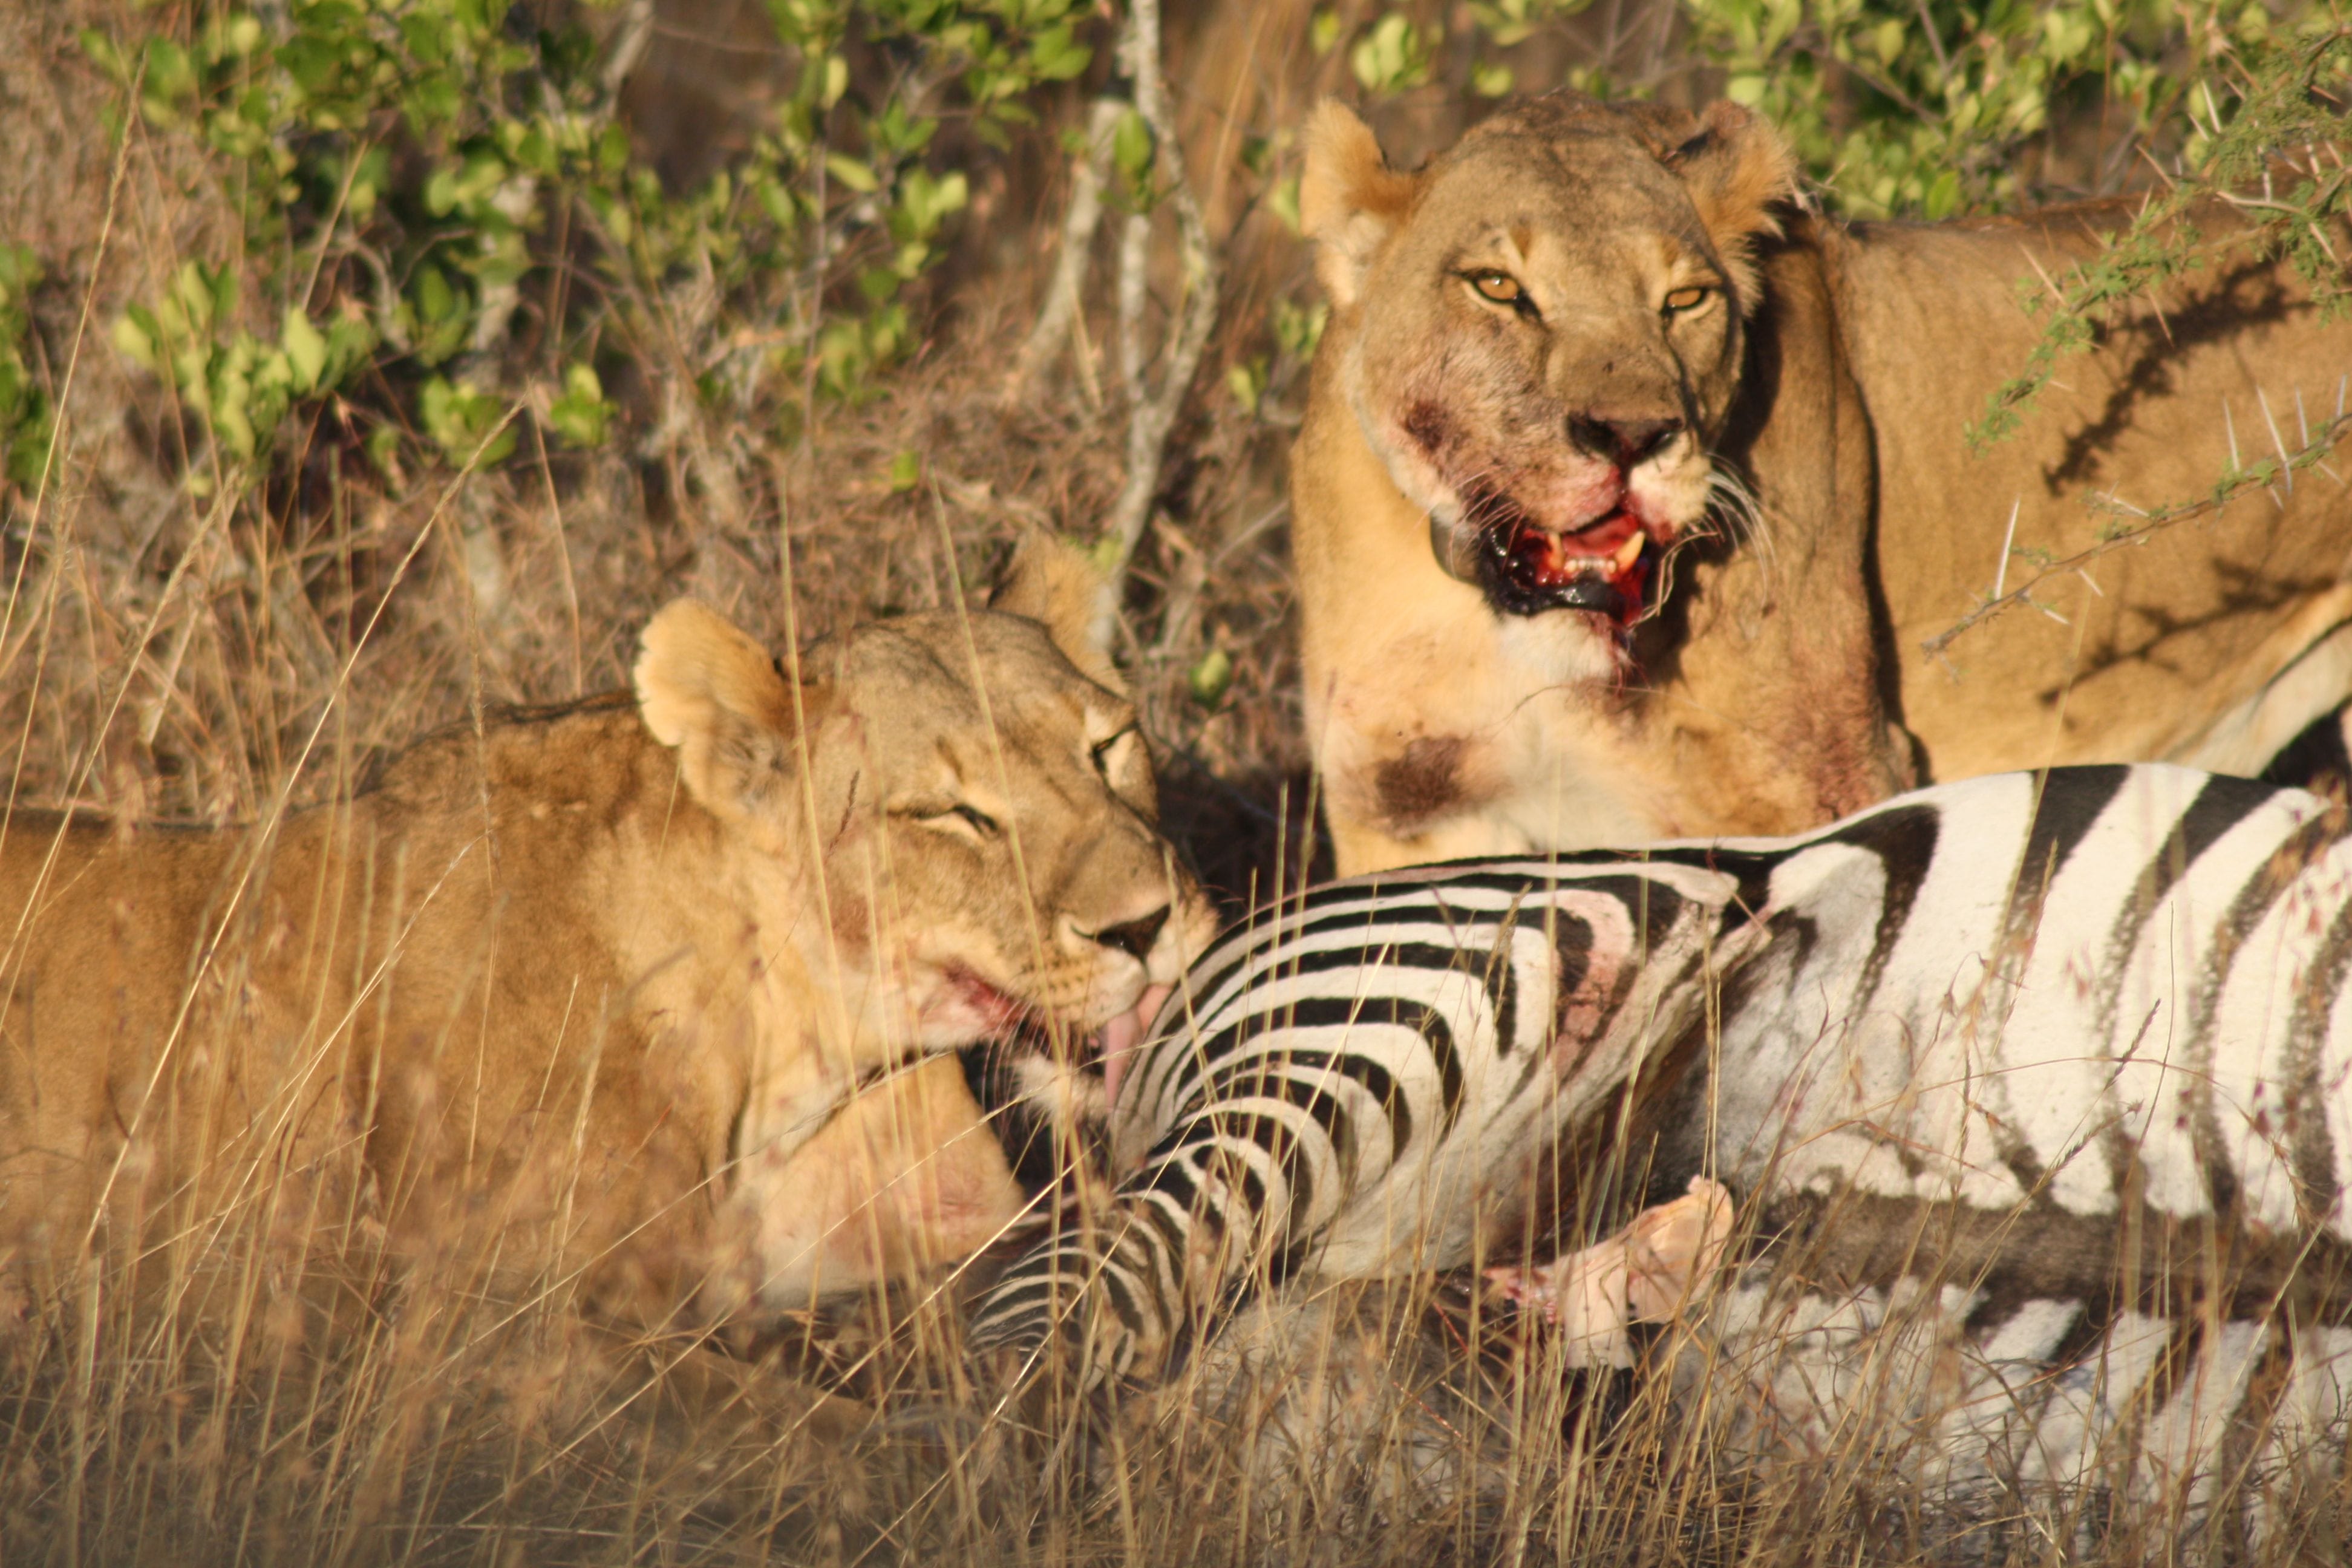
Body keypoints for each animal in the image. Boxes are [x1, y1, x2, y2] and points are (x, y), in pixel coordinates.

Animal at [1293, 91, 2352, 873]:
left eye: (1685, 300)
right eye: (1498, 288)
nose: (1634, 436)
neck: (1519, 646)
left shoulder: (1823, 790)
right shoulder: (1409, 818)